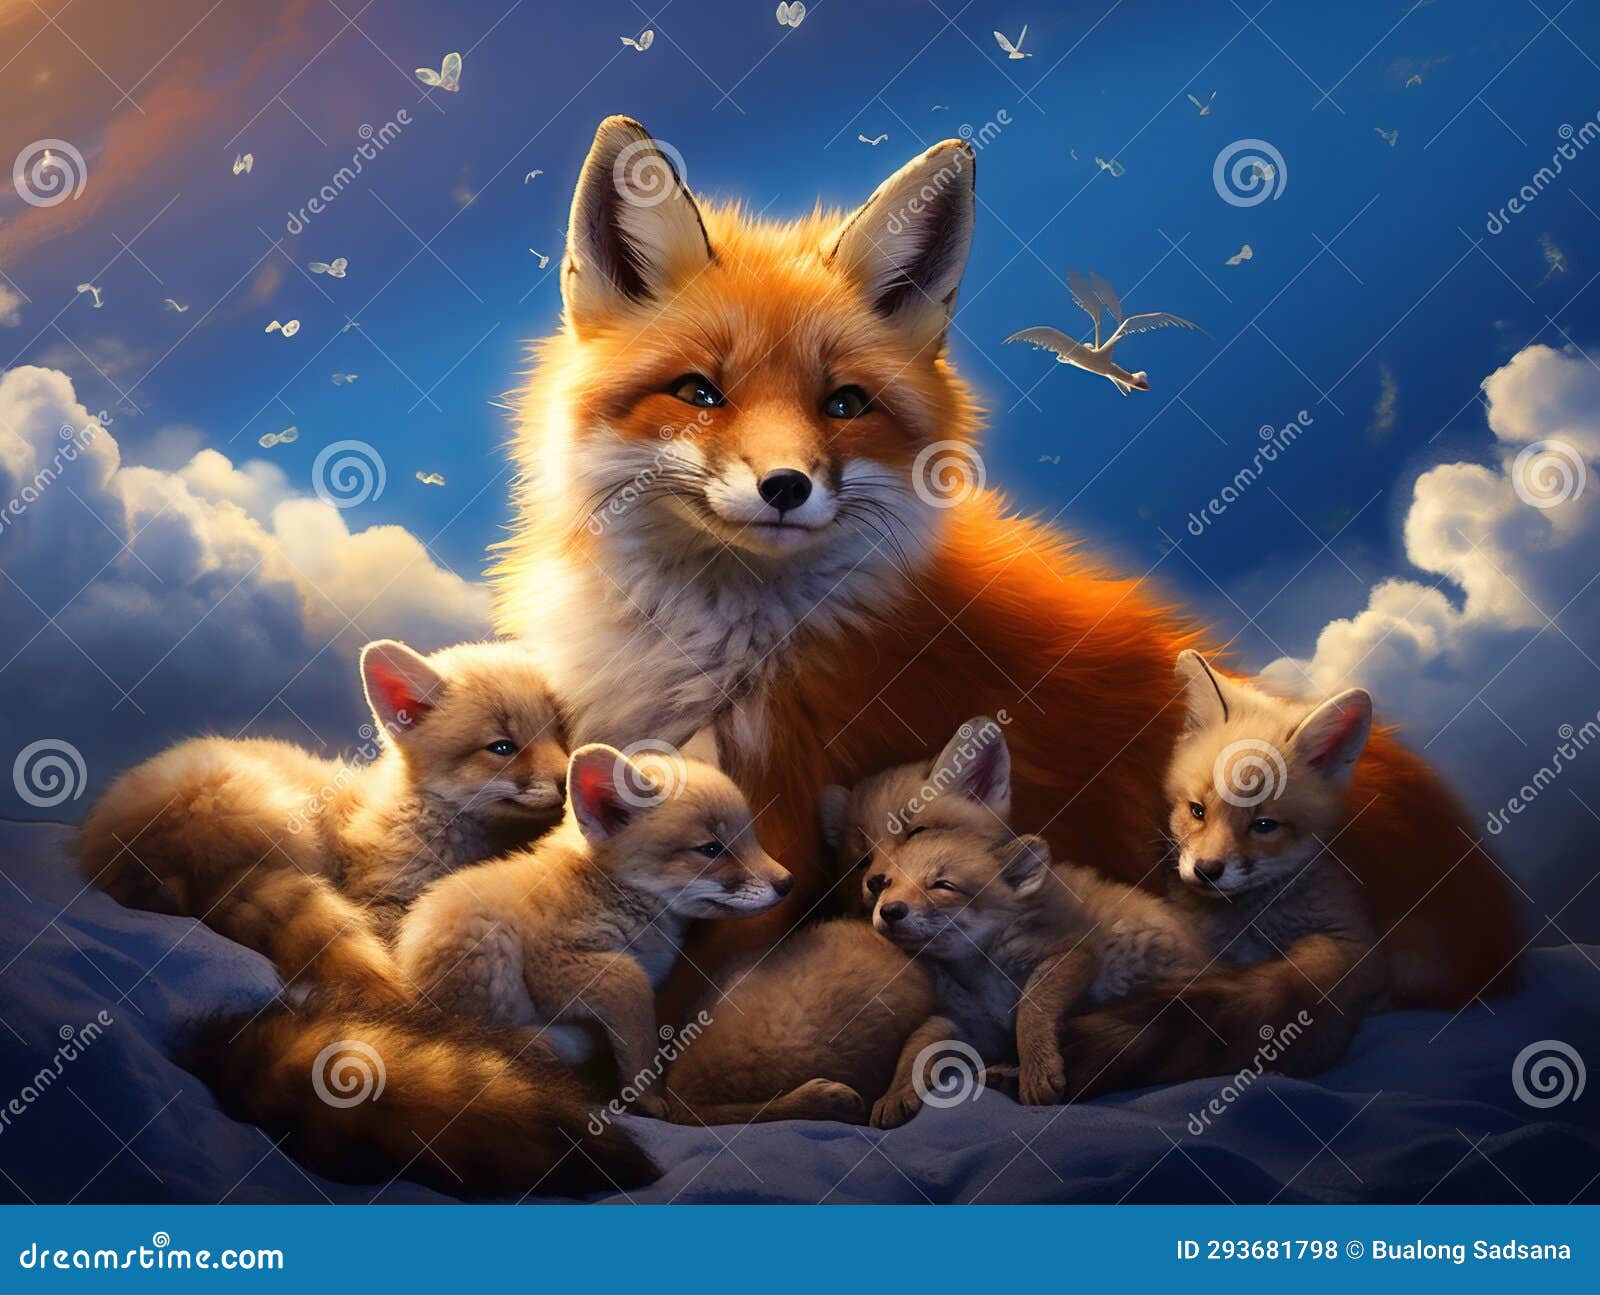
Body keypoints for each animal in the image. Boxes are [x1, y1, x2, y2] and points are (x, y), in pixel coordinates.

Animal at [393, 732, 793, 1115]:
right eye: (711, 849)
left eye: (751, 838)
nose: (787, 883)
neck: (609, 891)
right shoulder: (557, 965)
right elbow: (635, 998)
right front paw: (647, 1095)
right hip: (491, 948)